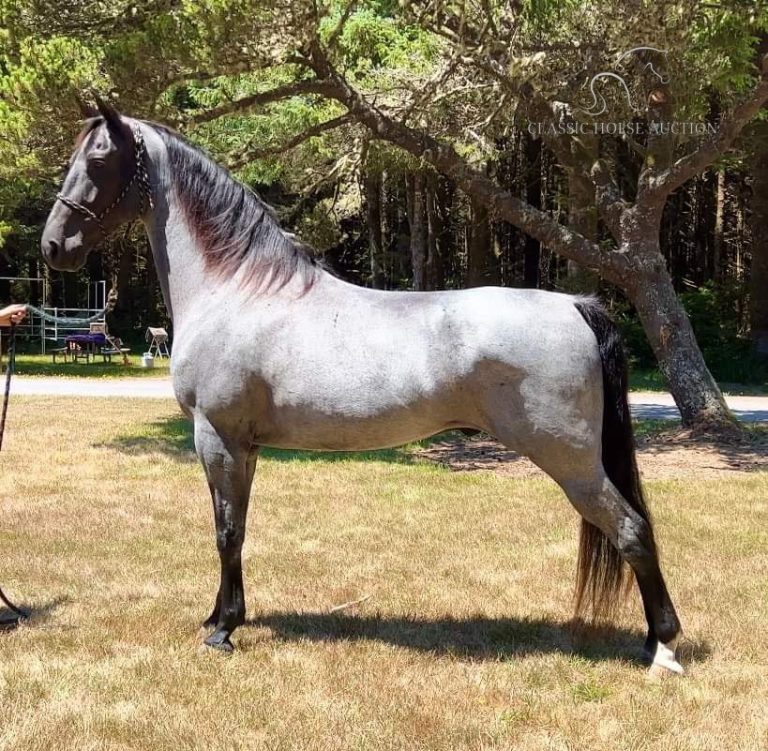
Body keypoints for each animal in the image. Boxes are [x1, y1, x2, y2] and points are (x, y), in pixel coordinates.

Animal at [40, 97, 683, 674]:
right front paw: (221, 616)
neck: (236, 289)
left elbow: (225, 532)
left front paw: (222, 631)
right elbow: (237, 528)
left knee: (632, 530)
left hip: (572, 462)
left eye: (99, 159)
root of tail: (576, 306)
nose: (53, 246)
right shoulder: (244, 447)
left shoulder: (216, 437)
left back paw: (664, 650)